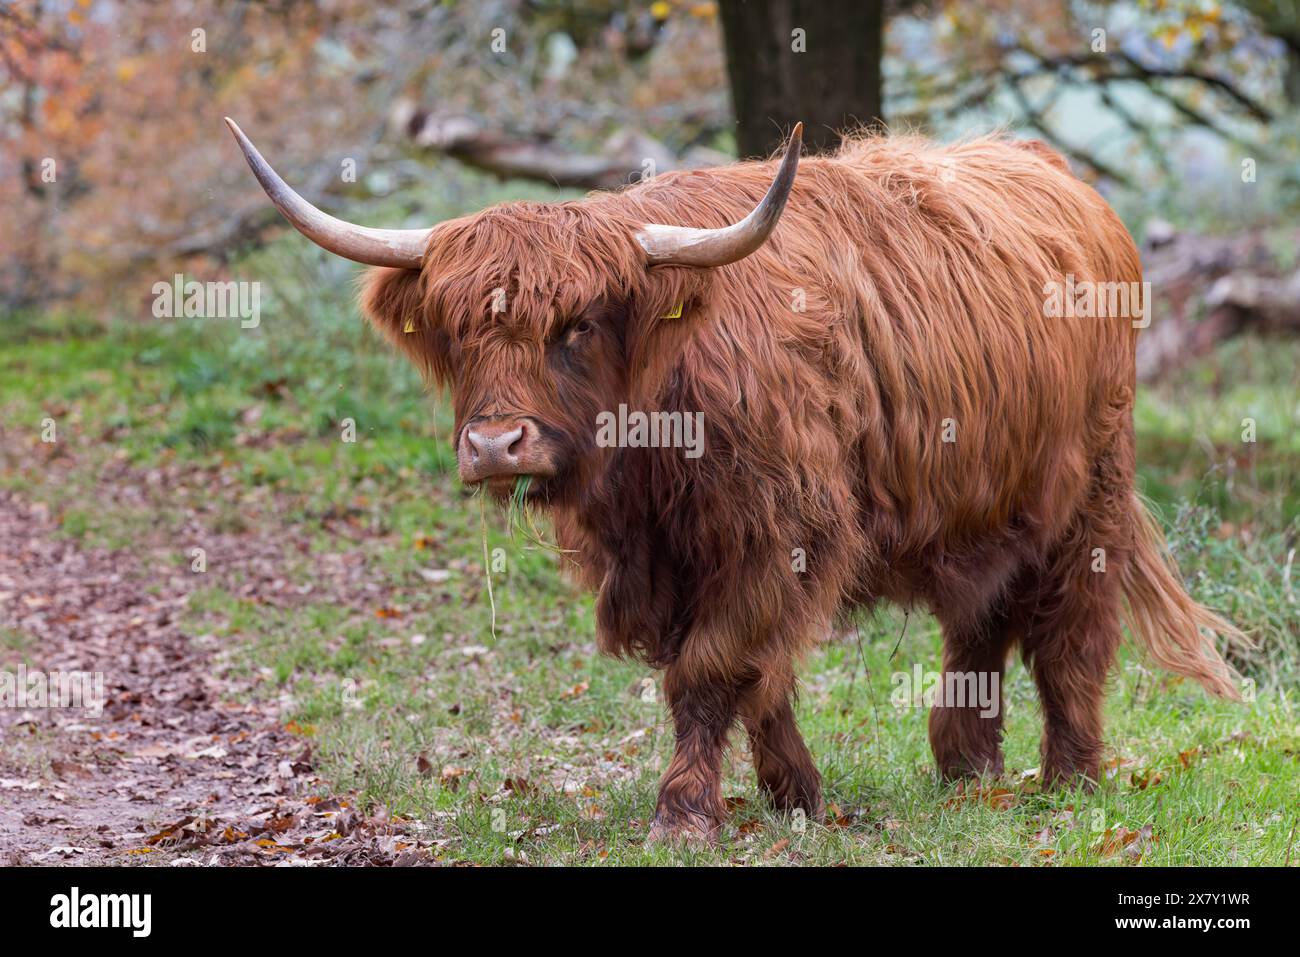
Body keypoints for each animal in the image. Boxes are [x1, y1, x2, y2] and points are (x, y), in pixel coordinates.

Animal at [225, 117, 1246, 843]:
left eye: (577, 326)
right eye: (457, 329)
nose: (496, 444)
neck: (648, 456)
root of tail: (1056, 175)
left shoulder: (774, 532)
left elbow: (713, 668)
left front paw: (684, 812)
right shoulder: (668, 559)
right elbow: (759, 675)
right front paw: (796, 793)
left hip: (1090, 493)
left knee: (1070, 634)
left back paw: (1069, 779)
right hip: (981, 503)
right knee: (981, 619)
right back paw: (965, 766)